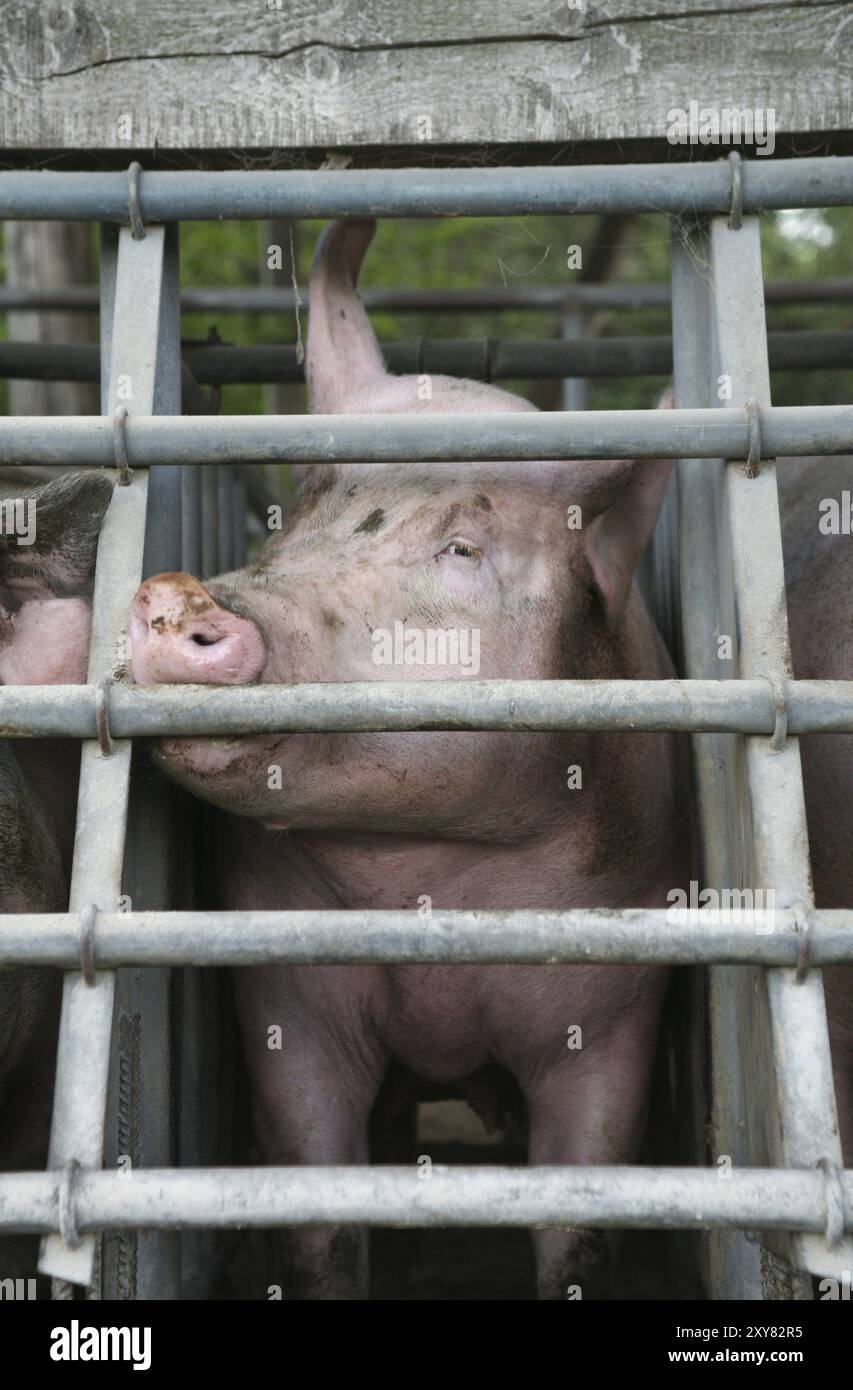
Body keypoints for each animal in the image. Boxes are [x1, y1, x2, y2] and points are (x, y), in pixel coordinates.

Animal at [128, 217, 688, 1299]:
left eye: (463, 547)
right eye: (300, 509)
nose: (180, 598)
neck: (424, 884)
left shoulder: (616, 1009)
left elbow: (578, 1222)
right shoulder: (288, 995)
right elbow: (321, 1216)